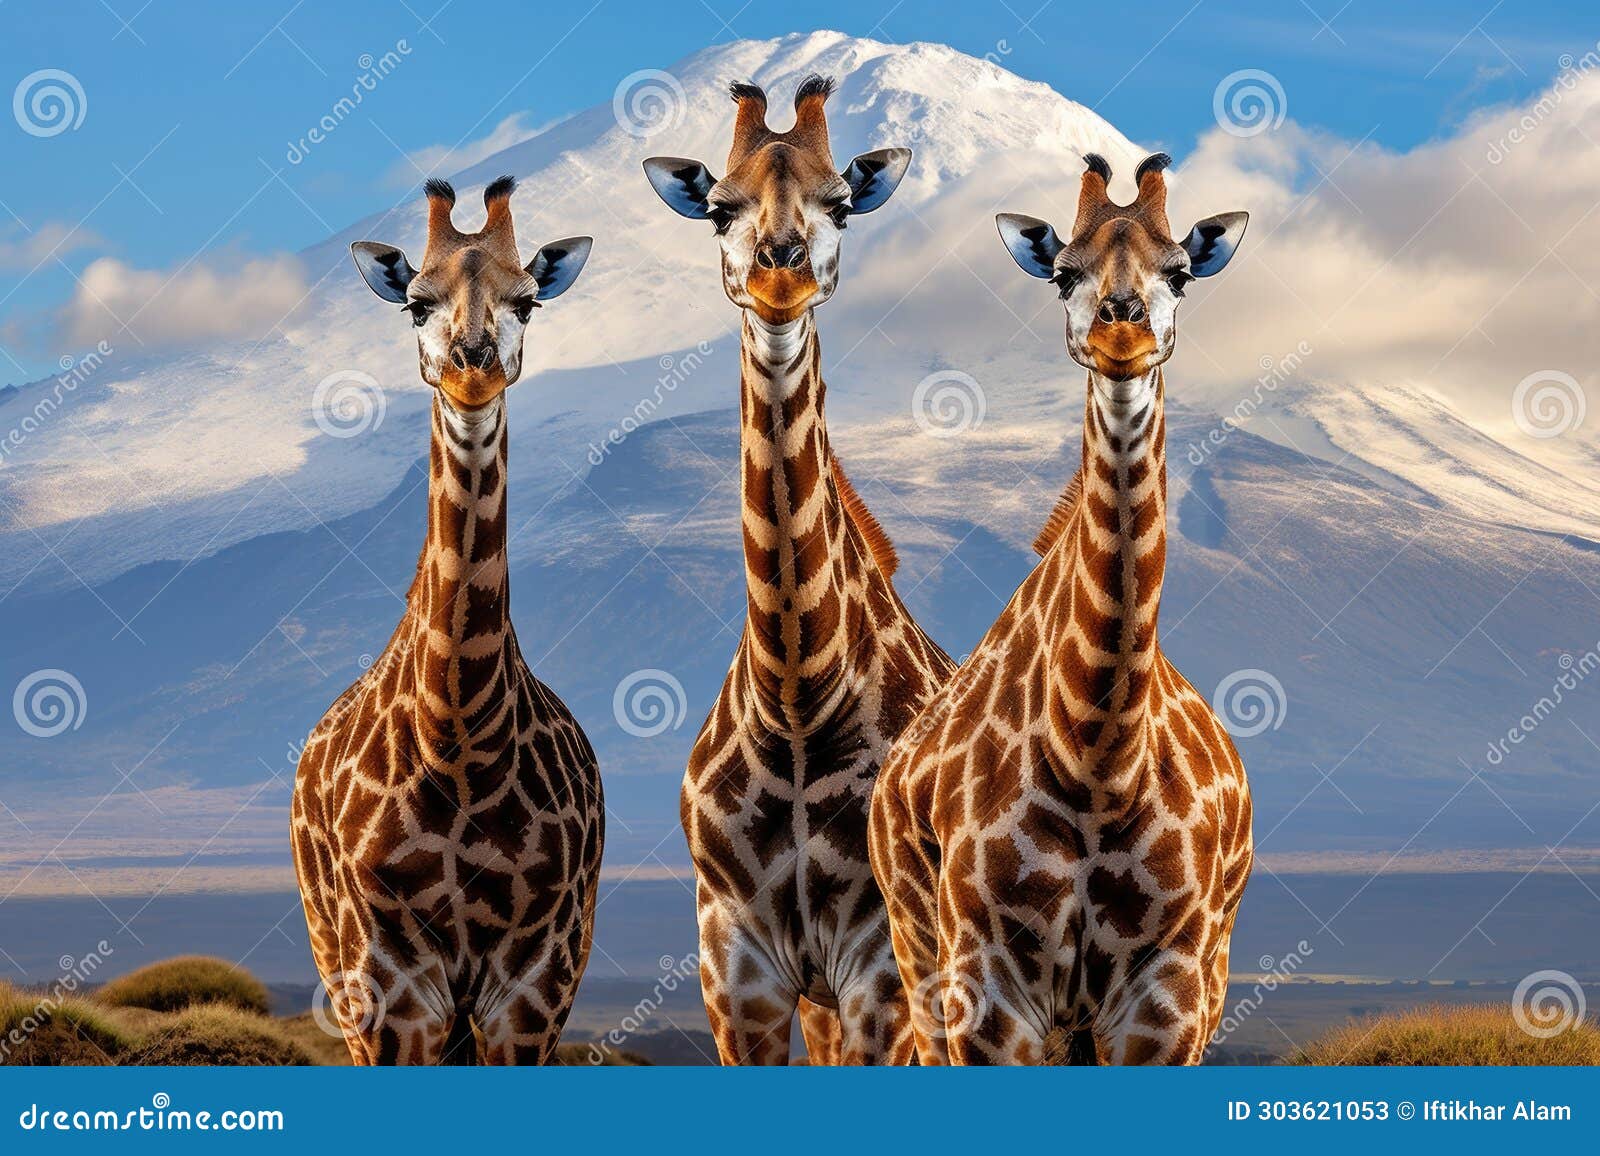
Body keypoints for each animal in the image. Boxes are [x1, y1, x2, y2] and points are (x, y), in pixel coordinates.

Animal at [290, 176, 603, 1065]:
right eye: (415, 303)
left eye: (528, 301)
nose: (472, 364)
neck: (460, 744)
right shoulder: (389, 985)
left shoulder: (534, 984)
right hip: (336, 964)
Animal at [643, 75, 956, 1065]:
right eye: (718, 208)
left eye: (842, 203)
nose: (780, 272)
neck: (799, 698)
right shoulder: (734, 966)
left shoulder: (878, 970)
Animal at [869, 153, 1253, 1065]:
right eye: (1063, 274)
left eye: (1179, 272)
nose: (1122, 328)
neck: (1098, 755)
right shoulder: (989, 989)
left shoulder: (1170, 998)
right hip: (920, 957)